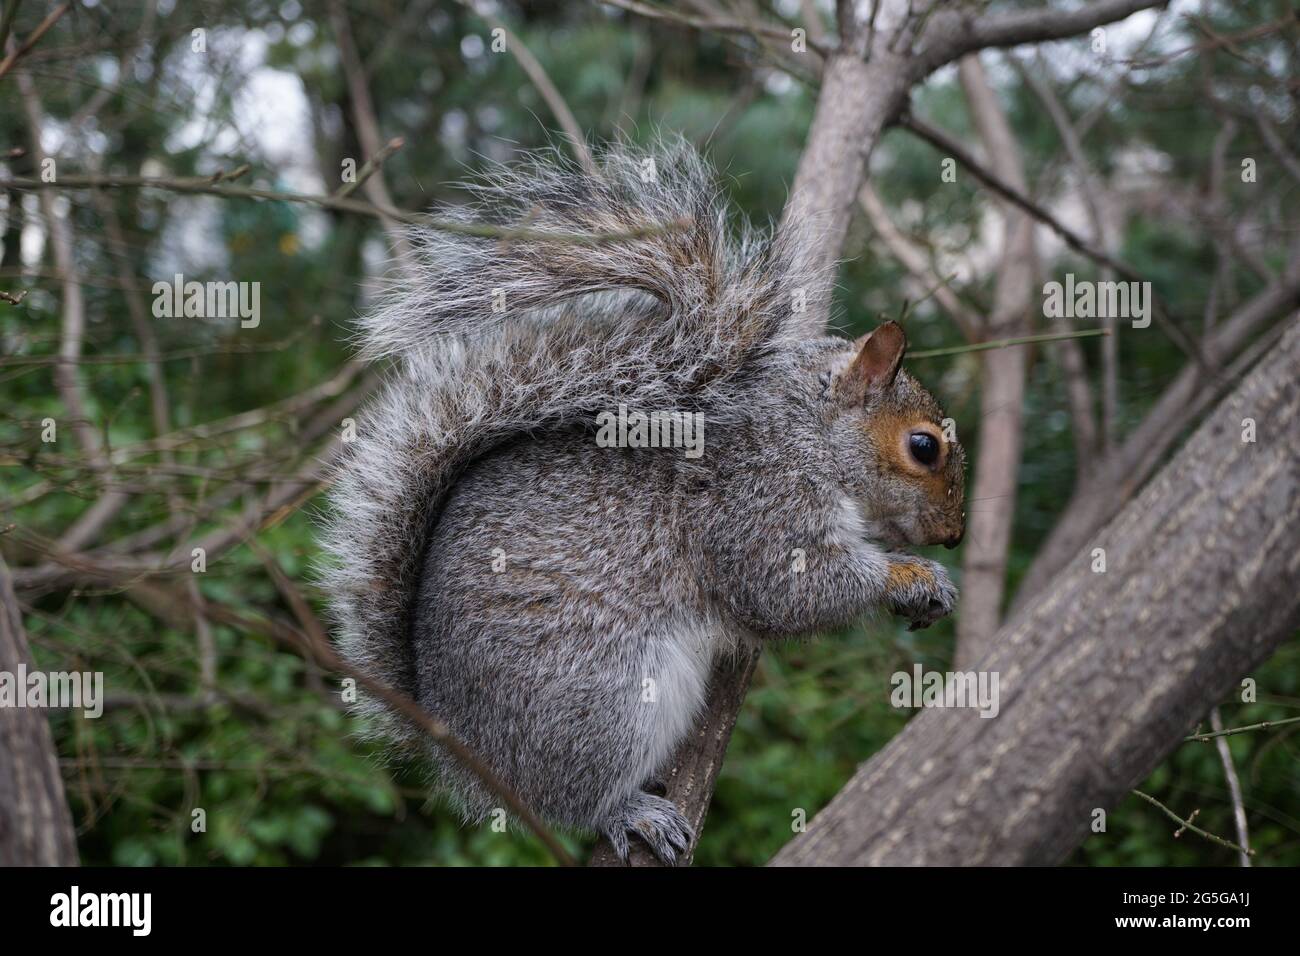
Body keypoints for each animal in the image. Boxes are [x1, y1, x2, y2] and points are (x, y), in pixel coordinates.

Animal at [319, 140, 965, 864]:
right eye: (924, 447)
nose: (954, 534)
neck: (803, 433)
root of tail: (456, 740)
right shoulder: (757, 504)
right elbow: (791, 592)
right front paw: (911, 577)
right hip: (606, 700)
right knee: (578, 798)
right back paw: (631, 810)